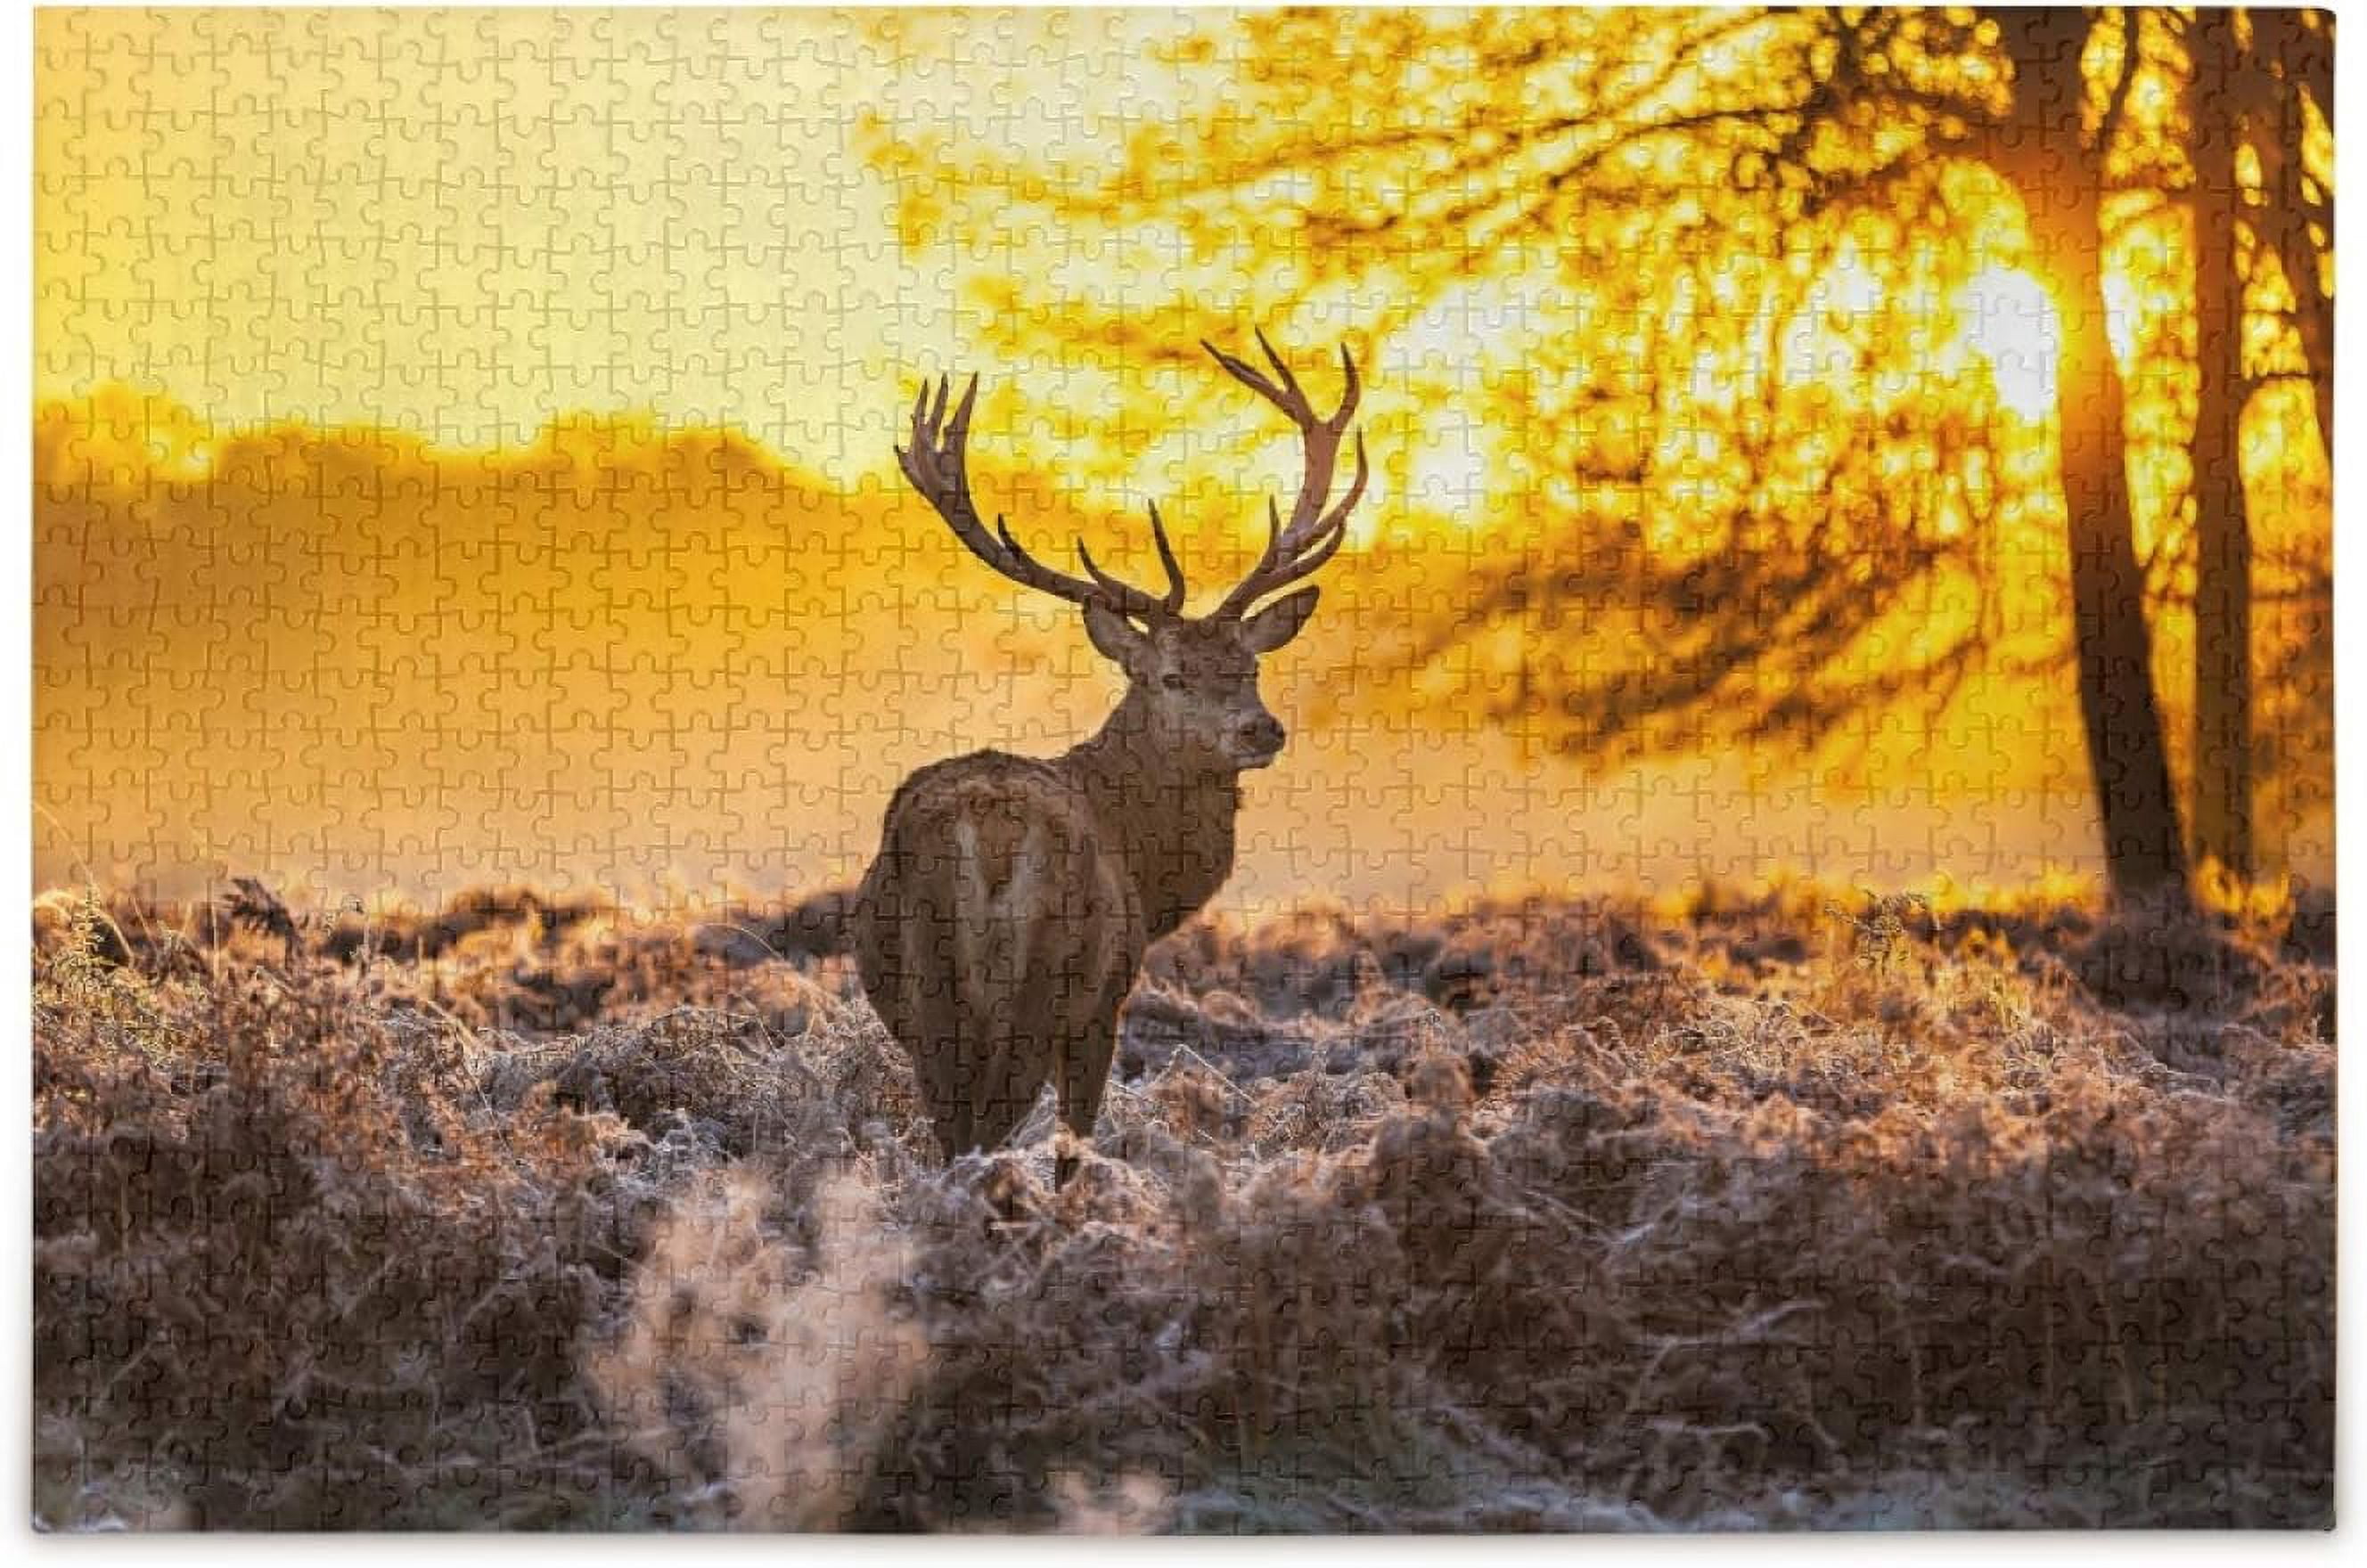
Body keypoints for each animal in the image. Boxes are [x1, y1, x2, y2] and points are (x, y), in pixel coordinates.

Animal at [853, 333, 1368, 1186]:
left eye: (1249, 666)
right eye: (1171, 675)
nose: (1261, 731)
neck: (1149, 872)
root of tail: (989, 833)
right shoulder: (1106, 1000)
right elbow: (1077, 1139)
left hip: (931, 991)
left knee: (955, 1133)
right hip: (1049, 978)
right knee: (993, 1132)